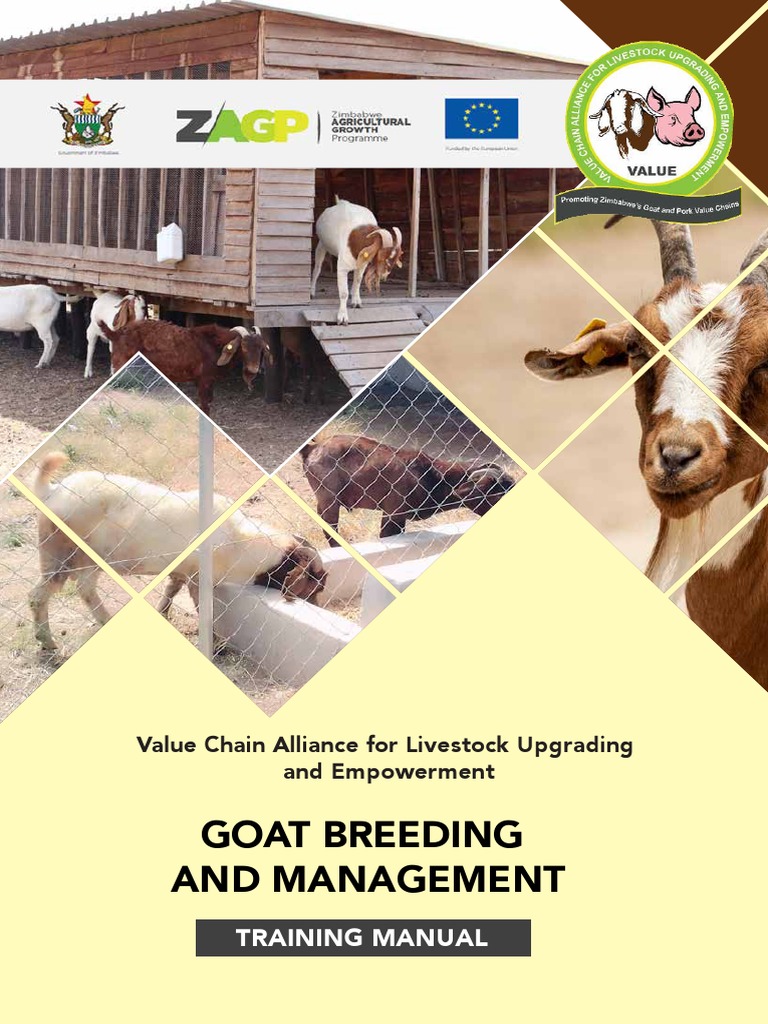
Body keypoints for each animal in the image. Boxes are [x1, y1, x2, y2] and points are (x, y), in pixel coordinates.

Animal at [29, 452, 327, 652]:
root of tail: (51, 491)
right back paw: (50, 645)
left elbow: (170, 591)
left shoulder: (181, 571)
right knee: (43, 595)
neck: (241, 544)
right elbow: (202, 609)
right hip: (63, 554)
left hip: (79, 560)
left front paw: (162, 614)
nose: (317, 607)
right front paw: (216, 646)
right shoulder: (199, 578)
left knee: (82, 590)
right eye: (315, 584)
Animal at [99, 318, 276, 415]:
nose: (253, 369)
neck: (215, 345)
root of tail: (116, 333)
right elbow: (205, 405)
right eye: (243, 347)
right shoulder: (204, 379)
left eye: (261, 349)